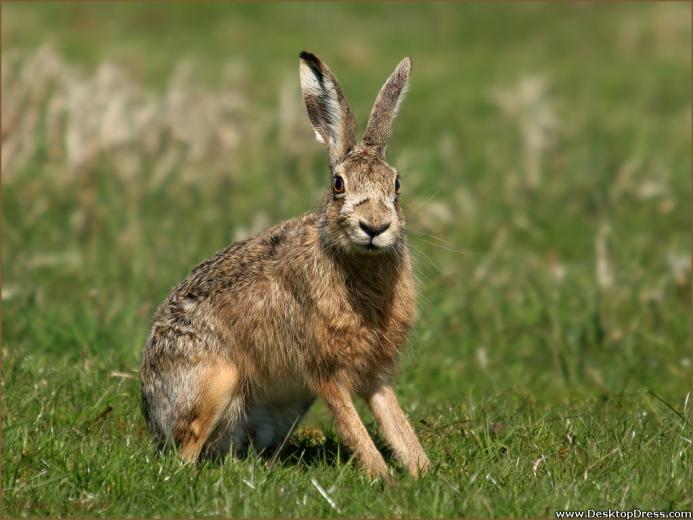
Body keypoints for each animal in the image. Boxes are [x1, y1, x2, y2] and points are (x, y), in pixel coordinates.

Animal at [140, 51, 430, 481]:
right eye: (338, 184)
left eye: (396, 185)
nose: (375, 226)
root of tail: (150, 411)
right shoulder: (323, 369)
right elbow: (351, 424)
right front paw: (383, 477)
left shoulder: (375, 372)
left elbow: (393, 418)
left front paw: (422, 470)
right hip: (215, 378)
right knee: (184, 452)